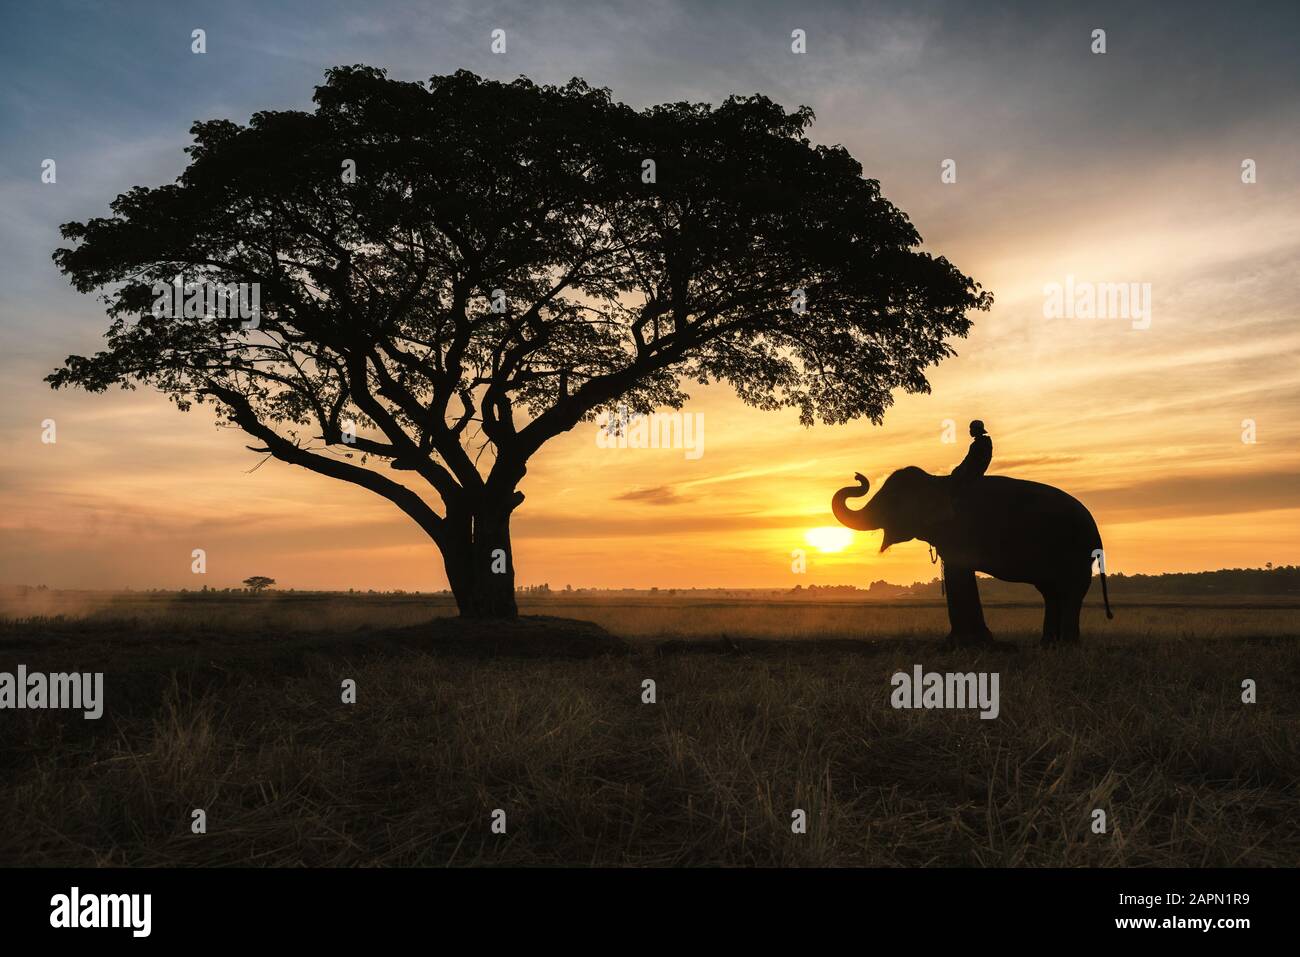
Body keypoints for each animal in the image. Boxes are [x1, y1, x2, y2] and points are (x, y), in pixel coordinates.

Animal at [831, 467, 1113, 645]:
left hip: (1075, 552)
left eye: (892, 500)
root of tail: (1096, 531)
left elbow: (959, 566)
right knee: (1051, 593)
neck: (939, 480)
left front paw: (969, 642)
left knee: (1072, 592)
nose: (858, 477)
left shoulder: (961, 531)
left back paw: (1067, 645)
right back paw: (1048, 644)